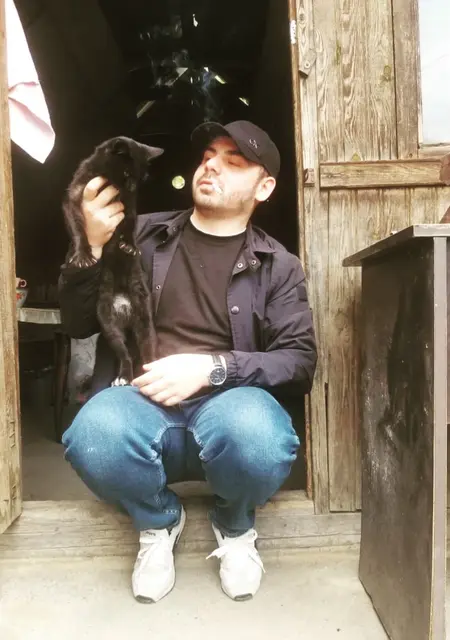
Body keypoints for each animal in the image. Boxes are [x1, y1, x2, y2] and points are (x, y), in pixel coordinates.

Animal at [63, 136, 164, 385]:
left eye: (141, 177)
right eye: (126, 173)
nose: (132, 188)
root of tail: (124, 308)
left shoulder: (129, 207)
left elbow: (130, 225)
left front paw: (130, 246)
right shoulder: (74, 198)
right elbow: (78, 230)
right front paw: (82, 255)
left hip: (145, 319)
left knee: (147, 351)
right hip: (108, 322)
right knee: (124, 354)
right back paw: (124, 377)